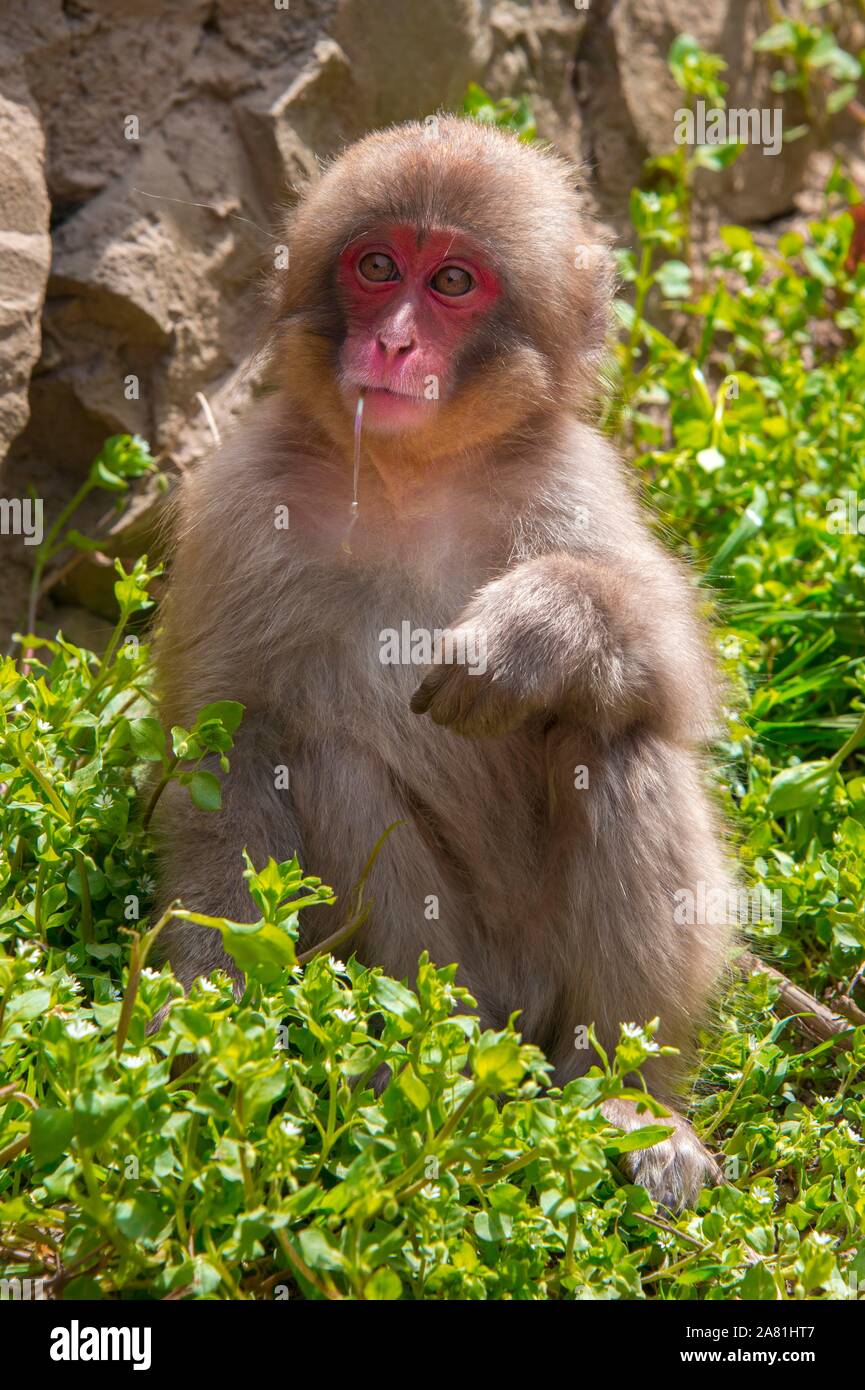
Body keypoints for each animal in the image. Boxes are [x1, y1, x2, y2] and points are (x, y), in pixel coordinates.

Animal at [154, 117, 734, 1209]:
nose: (391, 342)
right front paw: (208, 1028)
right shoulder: (241, 503)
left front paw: (537, 634)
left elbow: (675, 678)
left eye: (453, 281)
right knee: (326, 759)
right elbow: (225, 753)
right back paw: (420, 1066)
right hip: (459, 970)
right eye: (377, 267)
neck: (408, 479)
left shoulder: (569, 477)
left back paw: (627, 1094)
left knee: (615, 737)